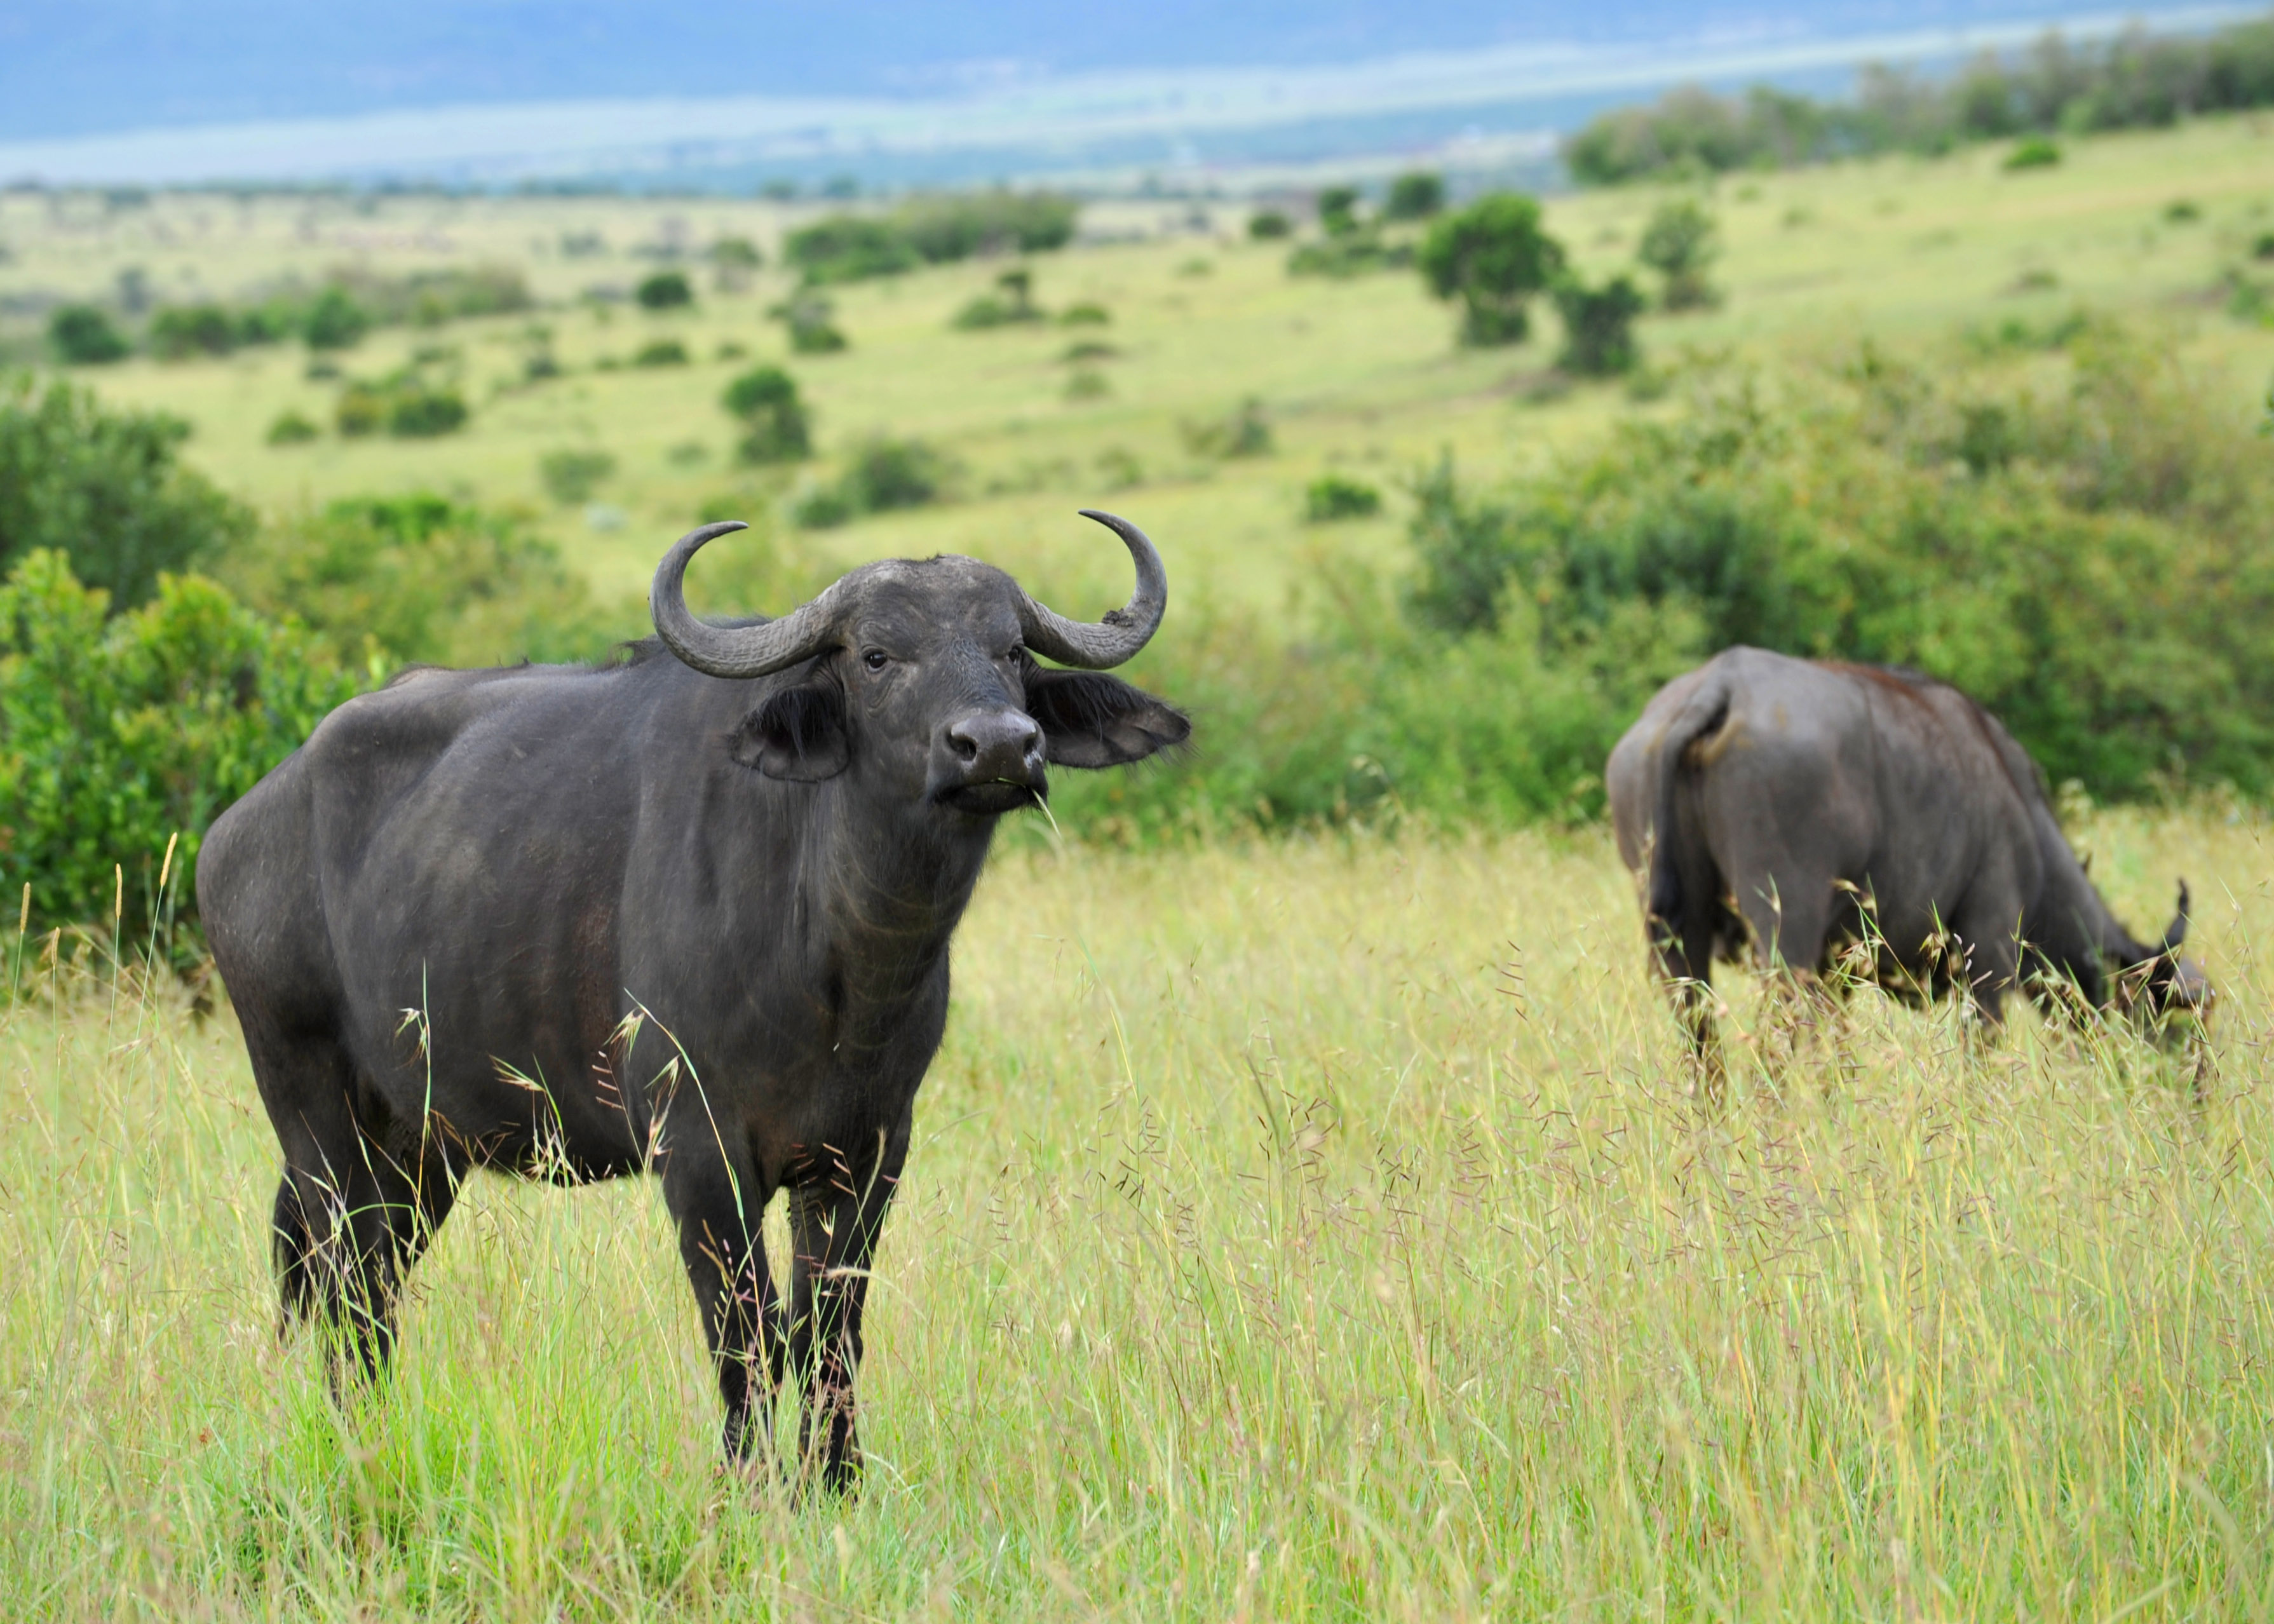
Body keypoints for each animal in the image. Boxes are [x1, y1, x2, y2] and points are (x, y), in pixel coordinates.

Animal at [198, 511, 1189, 1490]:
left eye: (1012, 649)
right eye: (876, 655)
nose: (997, 745)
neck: (838, 965)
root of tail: (238, 827)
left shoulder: (868, 1153)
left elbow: (829, 1334)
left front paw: (834, 1483)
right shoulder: (701, 1155)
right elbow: (745, 1335)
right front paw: (749, 1484)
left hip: (422, 1148)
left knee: (371, 1290)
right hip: (315, 1117)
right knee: (341, 1286)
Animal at [1607, 647, 2208, 1064]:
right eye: (2176, 1018)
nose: (2193, 1102)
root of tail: (1720, 685)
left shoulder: (1838, 975)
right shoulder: (1989, 951)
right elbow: (1979, 1050)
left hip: (1675, 937)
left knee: (1700, 1045)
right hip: (1783, 931)